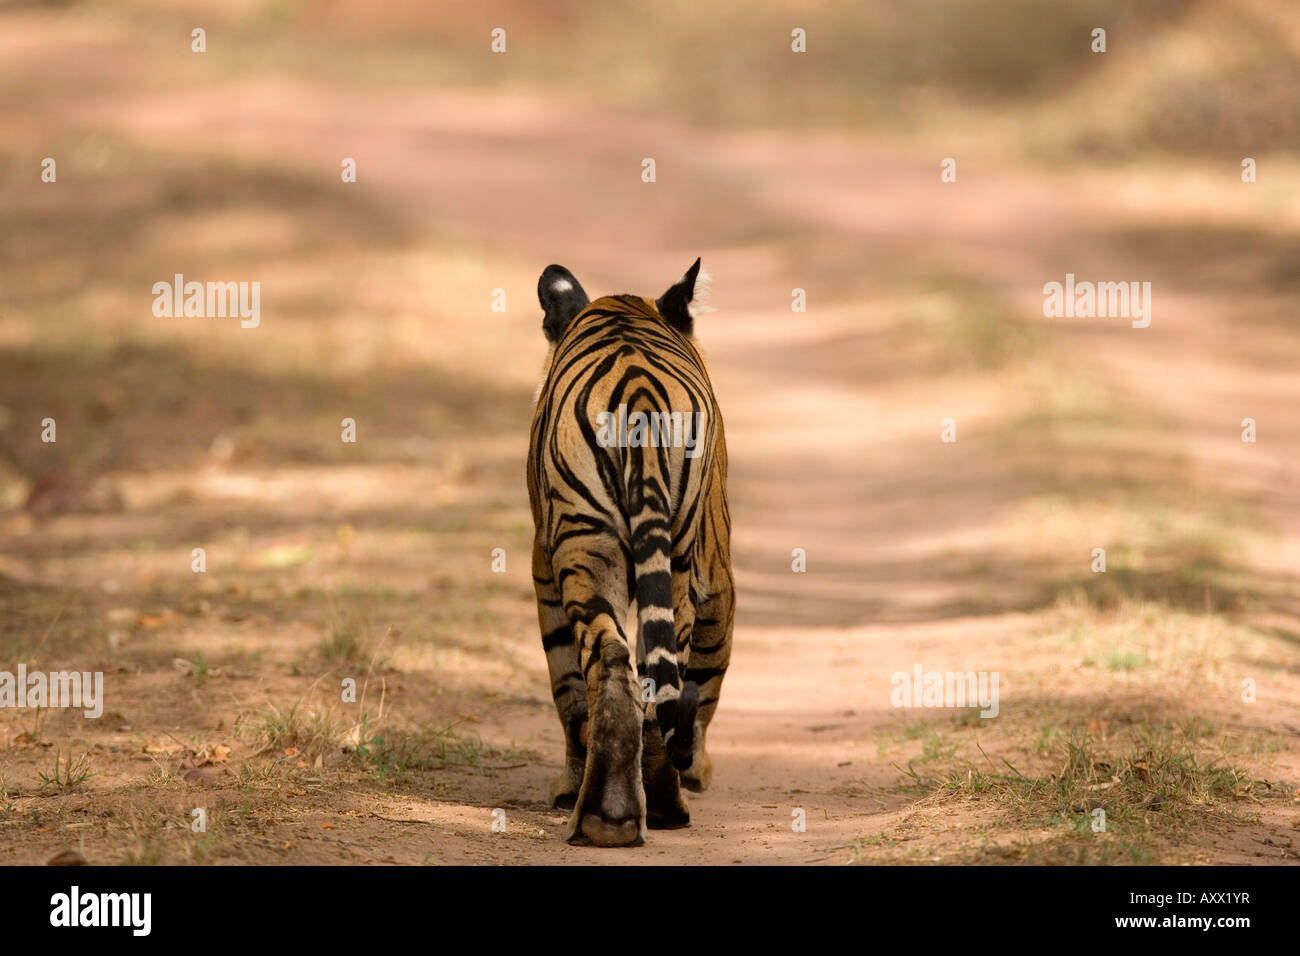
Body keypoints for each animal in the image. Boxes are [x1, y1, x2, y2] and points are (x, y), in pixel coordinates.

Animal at [527, 258, 734, 846]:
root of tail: (638, 389)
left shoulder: (544, 566)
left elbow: (569, 688)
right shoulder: (717, 579)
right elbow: (704, 683)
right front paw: (698, 769)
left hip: (586, 545)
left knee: (613, 660)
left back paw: (608, 816)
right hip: (672, 556)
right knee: (654, 671)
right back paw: (659, 803)